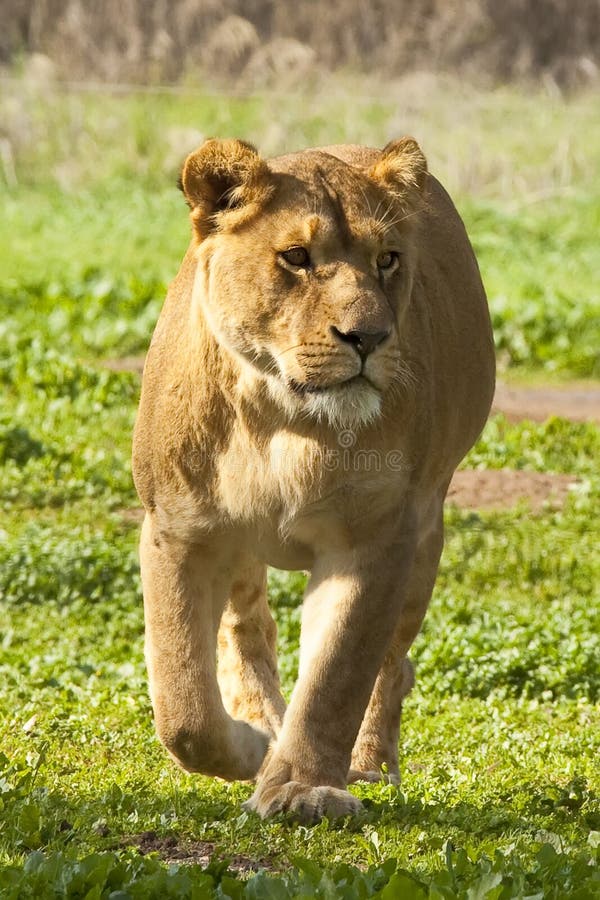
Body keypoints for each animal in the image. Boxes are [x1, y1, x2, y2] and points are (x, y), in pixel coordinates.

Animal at [132, 137, 495, 824]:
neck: (283, 420)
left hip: (426, 537)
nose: (369, 337)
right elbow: (183, 704)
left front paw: (303, 789)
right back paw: (264, 725)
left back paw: (369, 764)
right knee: (248, 629)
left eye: (387, 260)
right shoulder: (179, 530)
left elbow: (336, 675)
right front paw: (252, 749)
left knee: (390, 665)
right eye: (296, 257)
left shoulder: (377, 539)